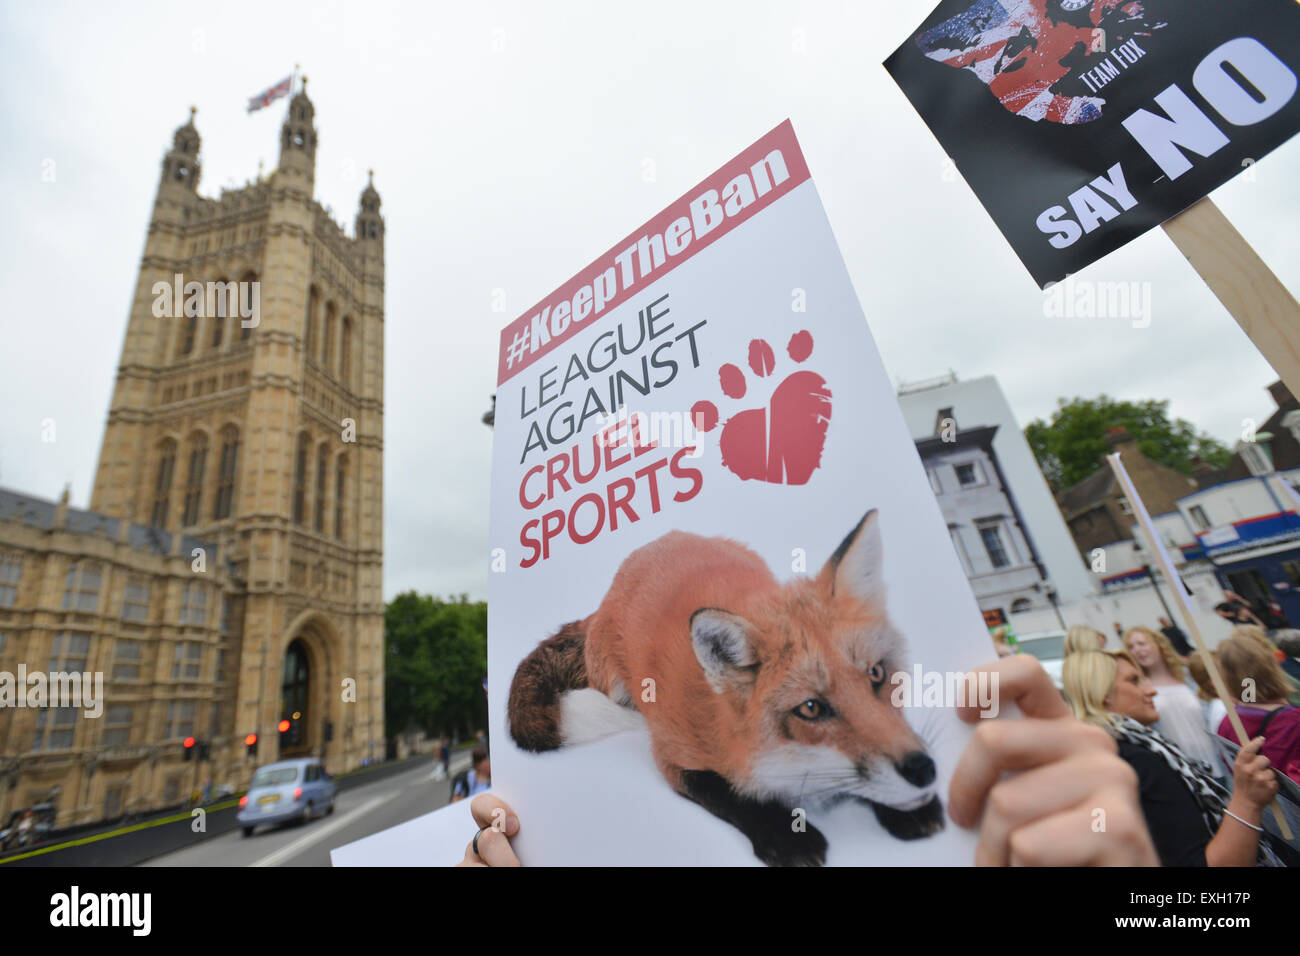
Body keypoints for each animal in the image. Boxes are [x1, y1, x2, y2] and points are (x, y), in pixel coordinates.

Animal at [507, 508, 944, 866]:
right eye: (811, 709)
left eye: (877, 674)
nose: (924, 770)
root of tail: (647, 548)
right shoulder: (674, 755)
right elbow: (732, 795)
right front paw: (787, 837)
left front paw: (904, 808)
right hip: (614, 683)